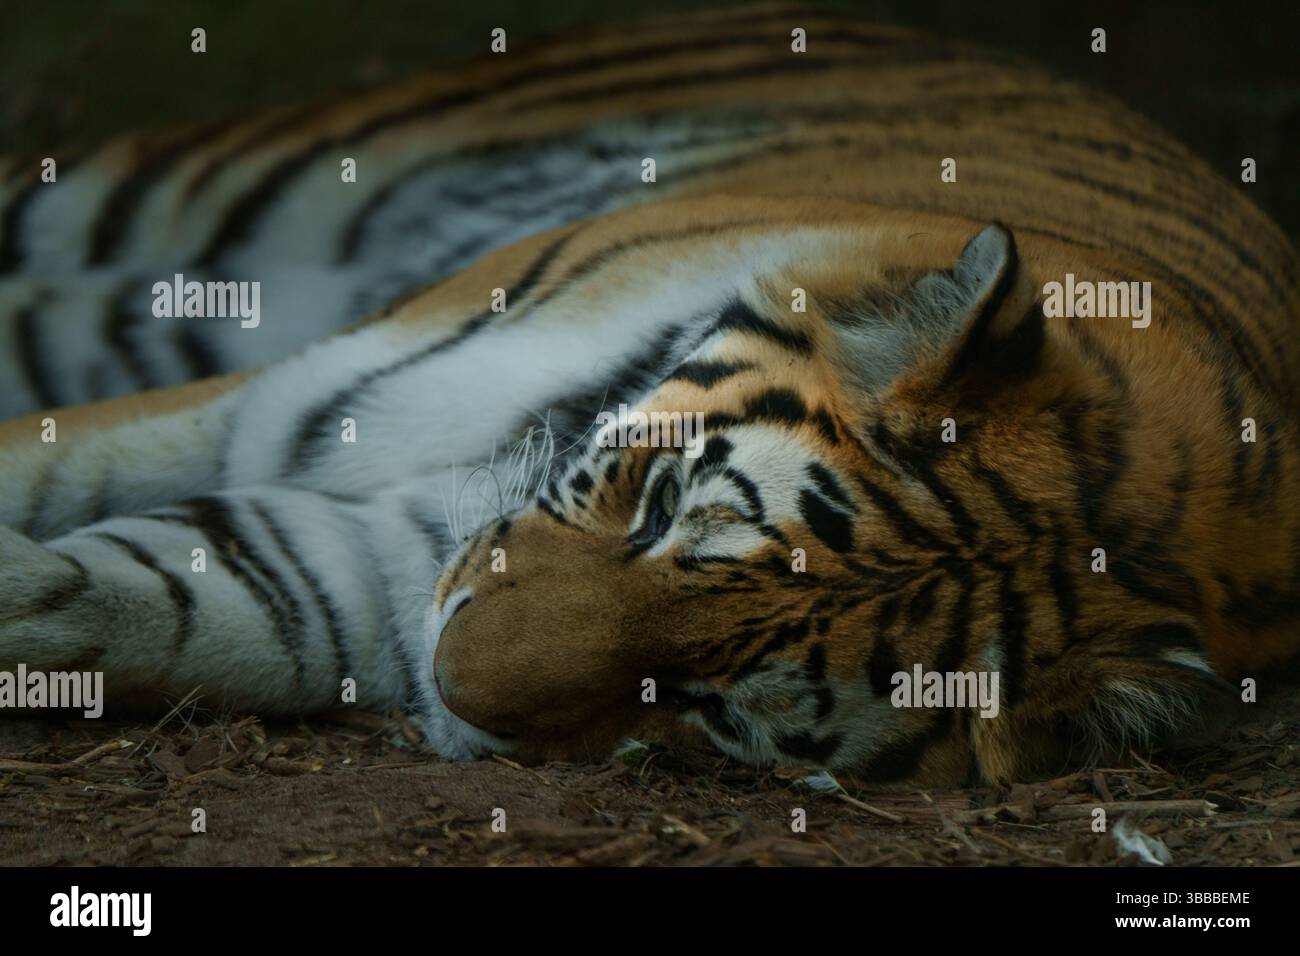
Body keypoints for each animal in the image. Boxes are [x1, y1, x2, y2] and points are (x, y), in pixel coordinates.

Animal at [1, 5, 1298, 787]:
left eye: (706, 705)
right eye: (664, 502)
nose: (449, 673)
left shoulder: (367, 565)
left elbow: (185, 591)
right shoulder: (290, 398)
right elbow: (58, 461)